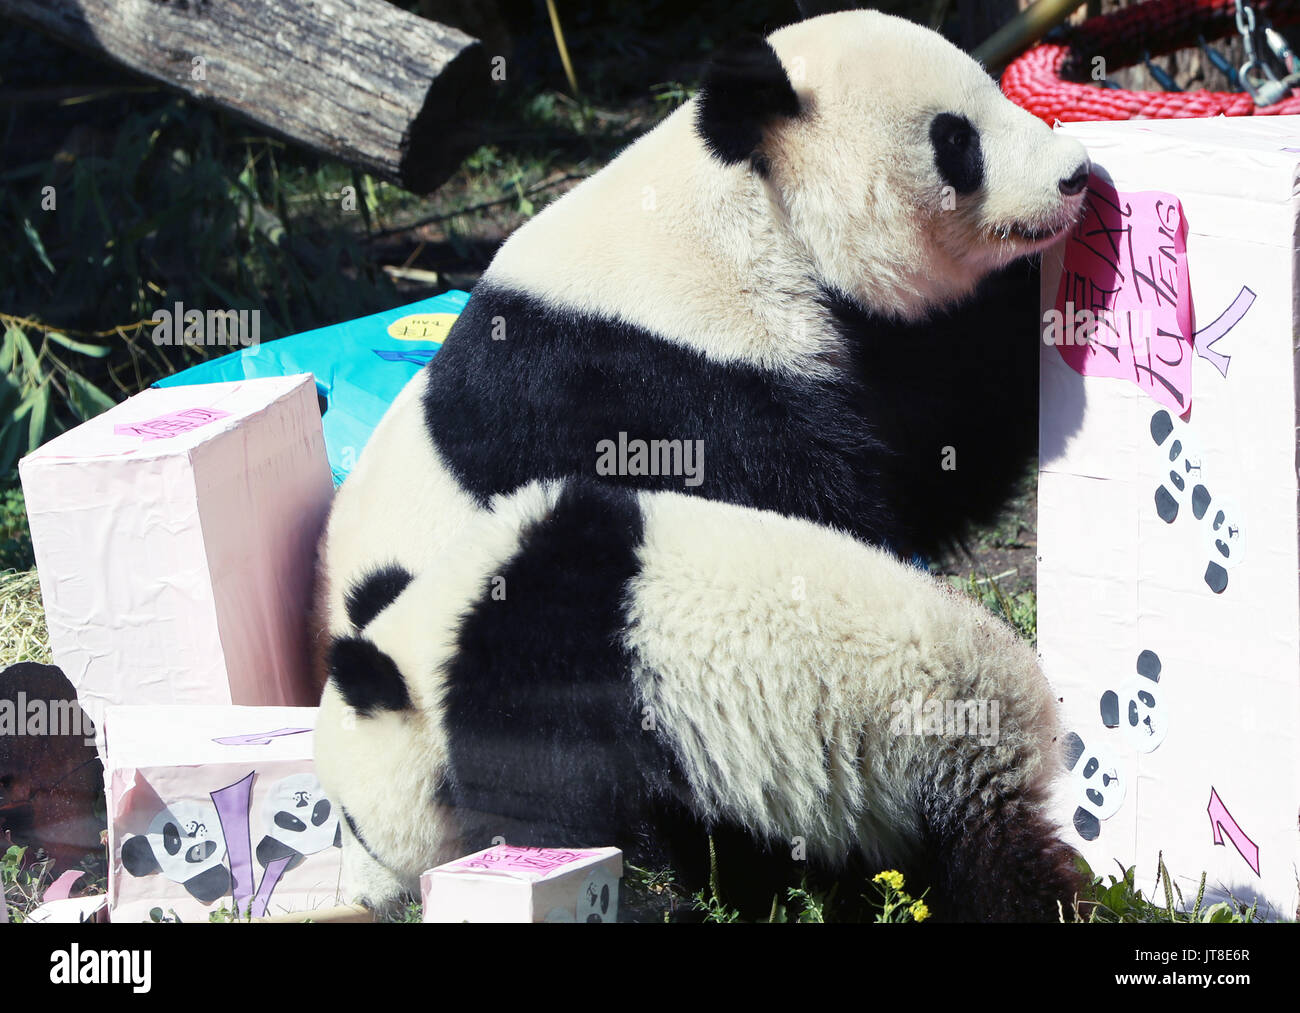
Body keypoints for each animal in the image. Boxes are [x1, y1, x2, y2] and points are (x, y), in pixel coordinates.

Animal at [312, 5, 1091, 921]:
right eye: (955, 138)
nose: (1075, 173)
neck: (743, 211)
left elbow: (945, 433)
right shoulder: (652, 385)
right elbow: (827, 514)